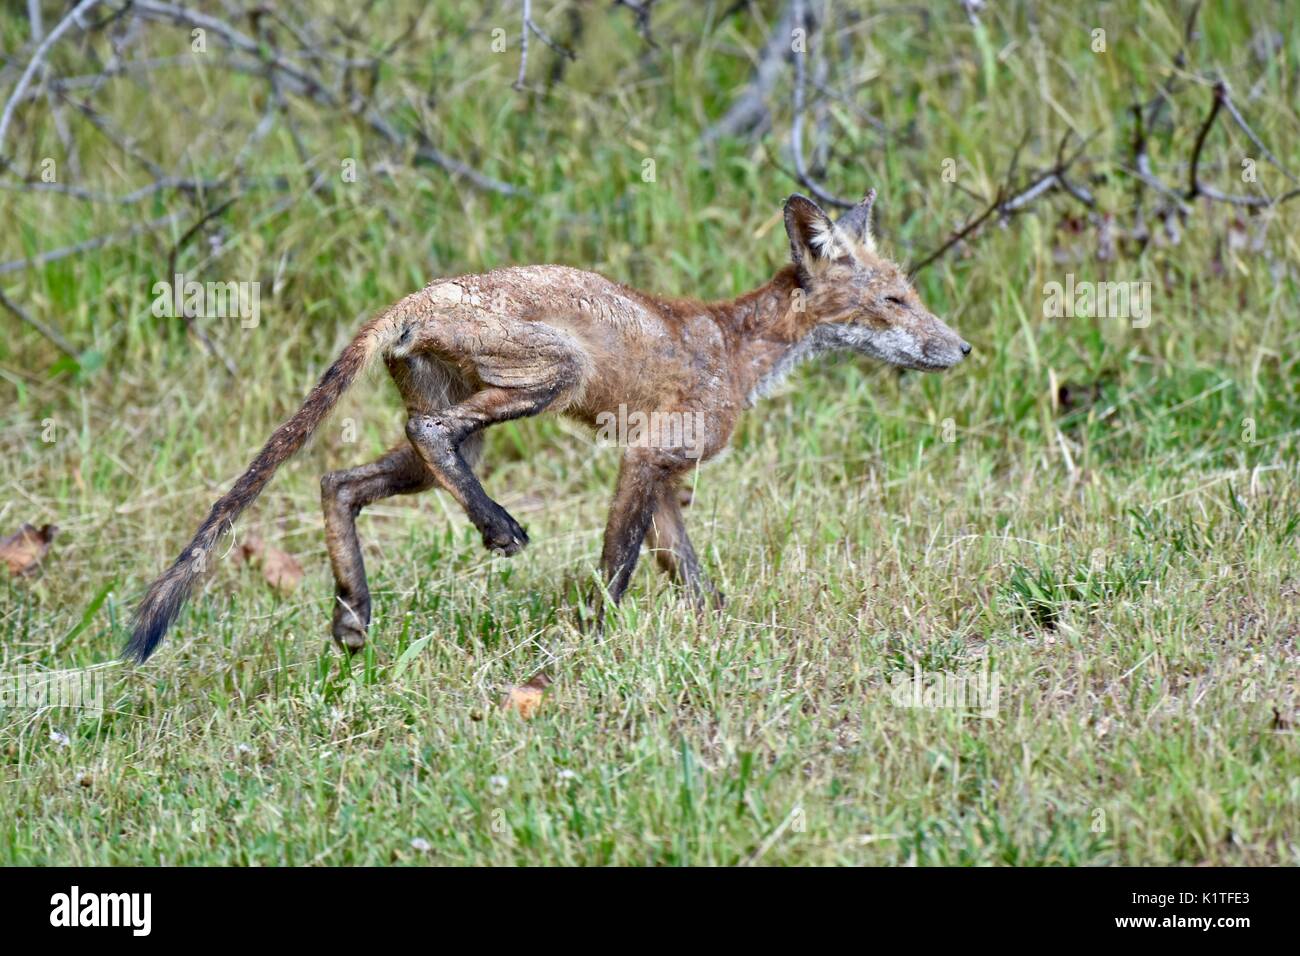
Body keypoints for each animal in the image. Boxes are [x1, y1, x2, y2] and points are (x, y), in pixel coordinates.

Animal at [124, 189, 970, 662]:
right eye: (895, 300)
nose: (962, 348)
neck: (737, 349)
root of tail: (416, 296)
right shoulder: (646, 458)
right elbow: (614, 574)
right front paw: (587, 651)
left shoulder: (664, 480)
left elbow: (696, 585)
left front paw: (723, 639)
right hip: (548, 375)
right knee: (424, 440)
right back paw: (494, 526)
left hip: (458, 431)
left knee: (339, 479)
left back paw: (354, 612)